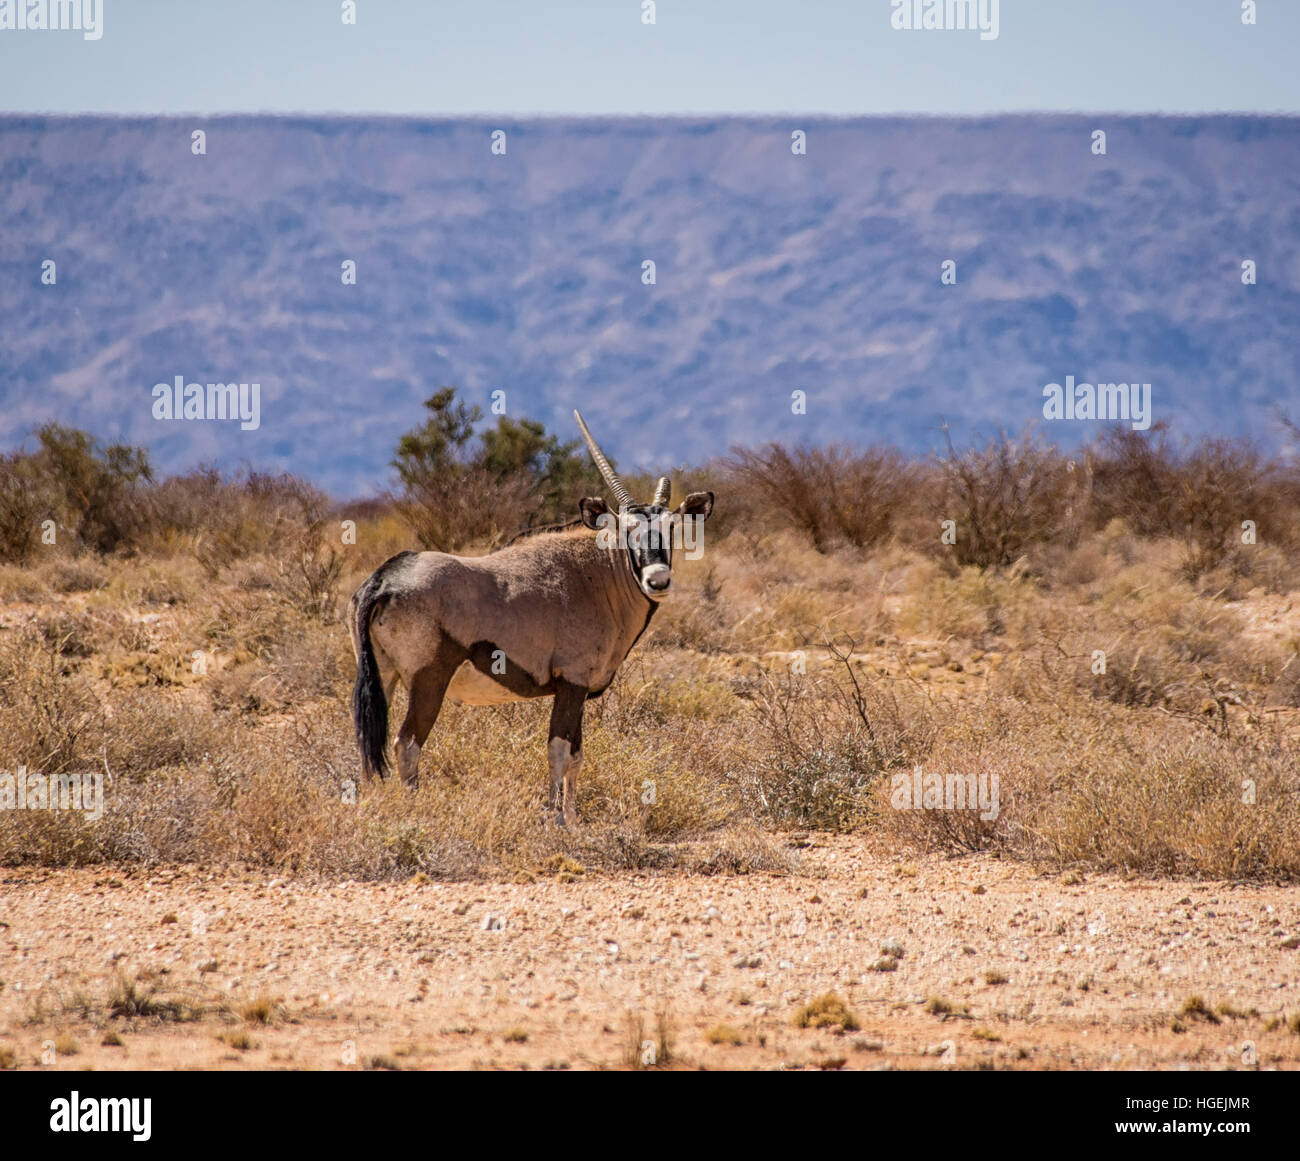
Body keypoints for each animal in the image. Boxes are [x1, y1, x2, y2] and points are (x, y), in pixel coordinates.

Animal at [348, 411, 714, 825]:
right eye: (627, 530)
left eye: (672, 527)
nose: (658, 579)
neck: (596, 573)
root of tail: (385, 578)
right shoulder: (571, 682)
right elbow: (559, 750)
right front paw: (555, 819)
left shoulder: (579, 690)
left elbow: (577, 755)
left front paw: (573, 820)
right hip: (429, 680)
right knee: (407, 743)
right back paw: (413, 812)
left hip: (383, 675)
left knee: (369, 740)